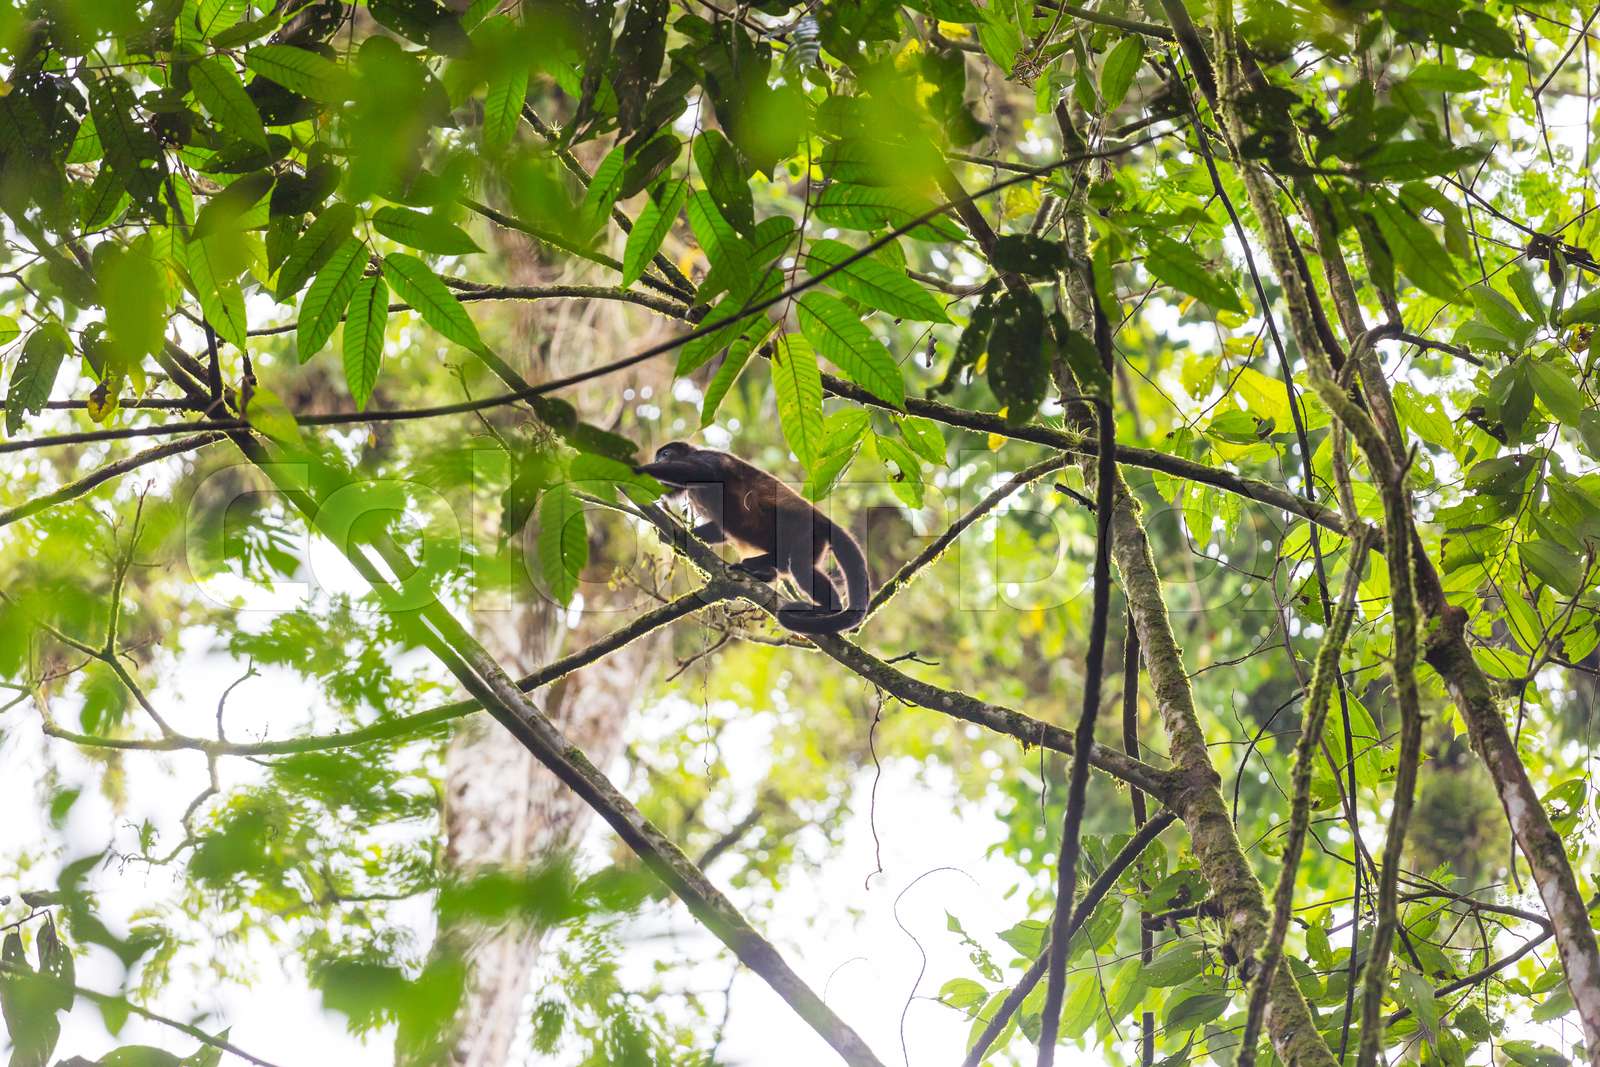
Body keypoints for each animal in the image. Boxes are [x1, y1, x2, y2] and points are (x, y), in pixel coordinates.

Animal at [634, 441, 871, 634]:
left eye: (664, 454)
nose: (657, 460)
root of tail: (823, 519)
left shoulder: (707, 458)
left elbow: (701, 472)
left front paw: (635, 469)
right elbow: (720, 530)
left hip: (808, 533)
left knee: (800, 567)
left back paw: (828, 606)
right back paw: (759, 571)